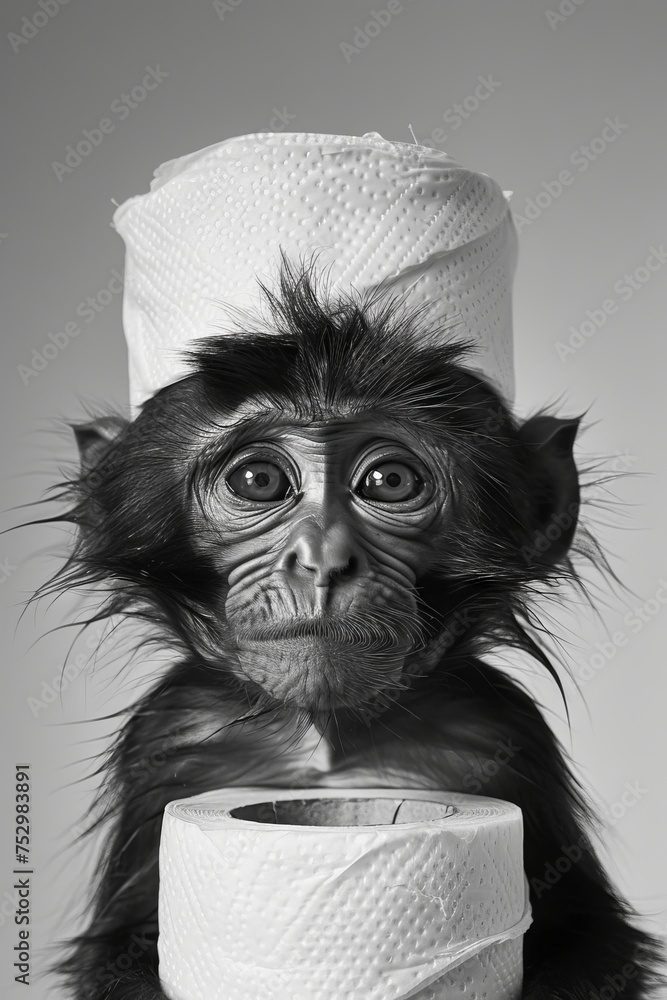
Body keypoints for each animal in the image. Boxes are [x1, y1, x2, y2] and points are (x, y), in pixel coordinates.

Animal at [45, 257, 662, 999]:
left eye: (389, 480)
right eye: (258, 480)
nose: (322, 559)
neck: (327, 747)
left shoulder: (504, 737)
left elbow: (588, 937)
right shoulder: (169, 741)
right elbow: (125, 946)